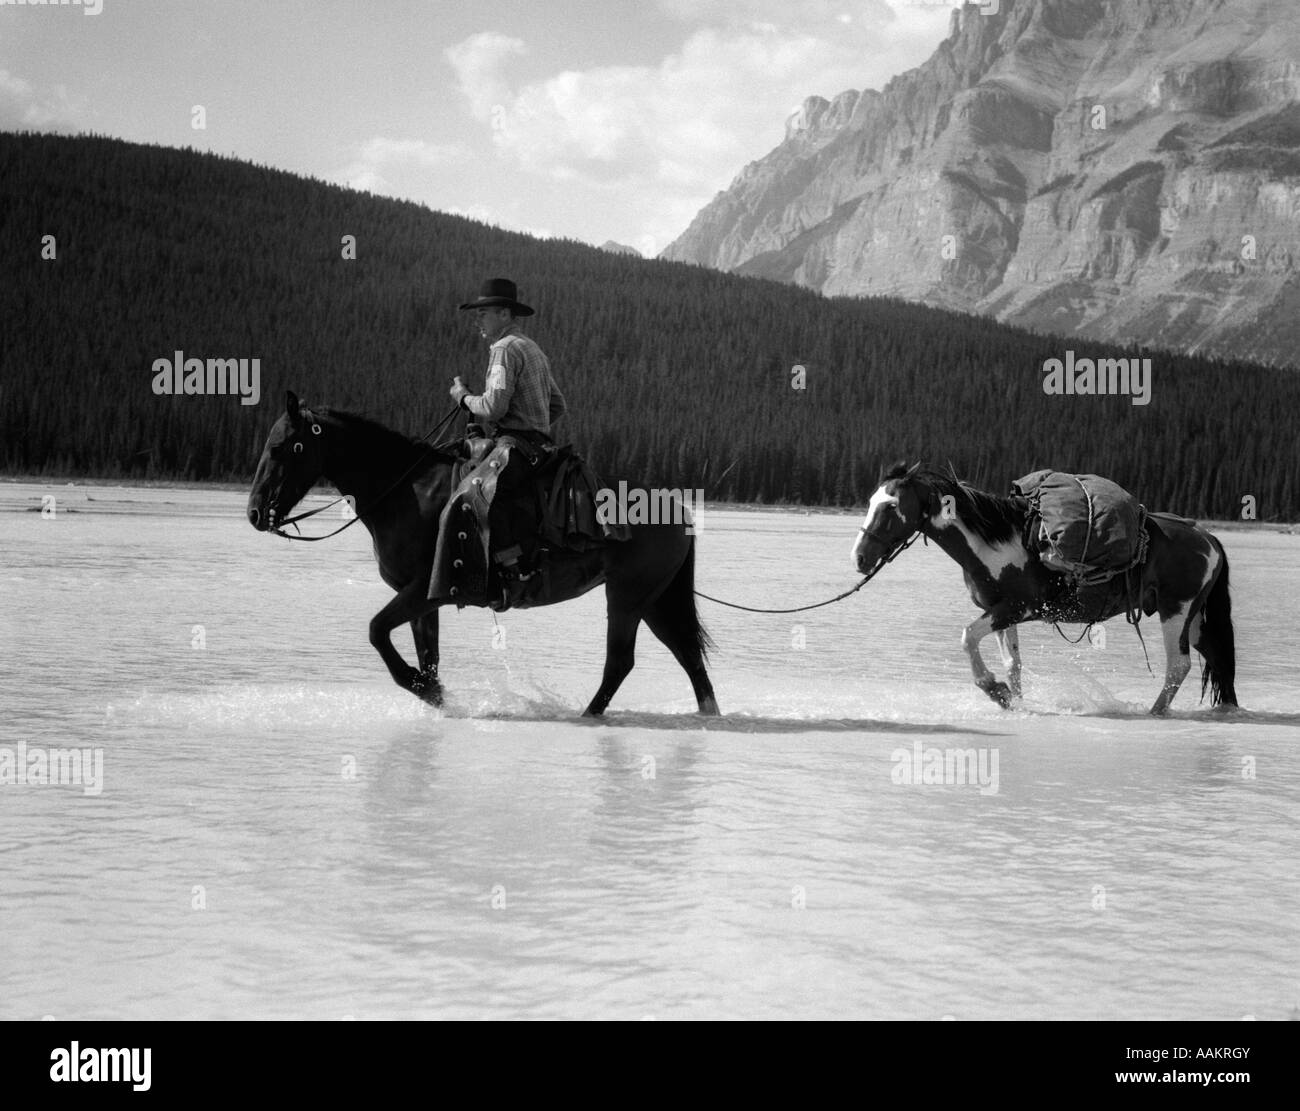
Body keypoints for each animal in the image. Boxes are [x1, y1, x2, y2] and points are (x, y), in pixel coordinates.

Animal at [246, 392, 719, 717]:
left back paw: (588, 715)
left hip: (627, 598)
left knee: (622, 661)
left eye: (282, 447)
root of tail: (678, 509)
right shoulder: (425, 599)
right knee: (687, 655)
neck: (405, 492)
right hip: (655, 601)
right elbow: (428, 656)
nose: (254, 512)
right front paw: (434, 693)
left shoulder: (423, 589)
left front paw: (425, 690)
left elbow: (377, 631)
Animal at [850, 462, 1237, 716]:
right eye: (870, 502)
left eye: (892, 505)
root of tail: (1207, 536)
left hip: (1177, 613)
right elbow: (1013, 664)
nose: (859, 557)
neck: (997, 542)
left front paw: (994, 690)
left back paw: (1154, 712)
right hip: (1195, 619)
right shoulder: (1000, 612)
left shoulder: (1016, 608)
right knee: (1217, 659)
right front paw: (1014, 701)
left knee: (1178, 666)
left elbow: (967, 637)